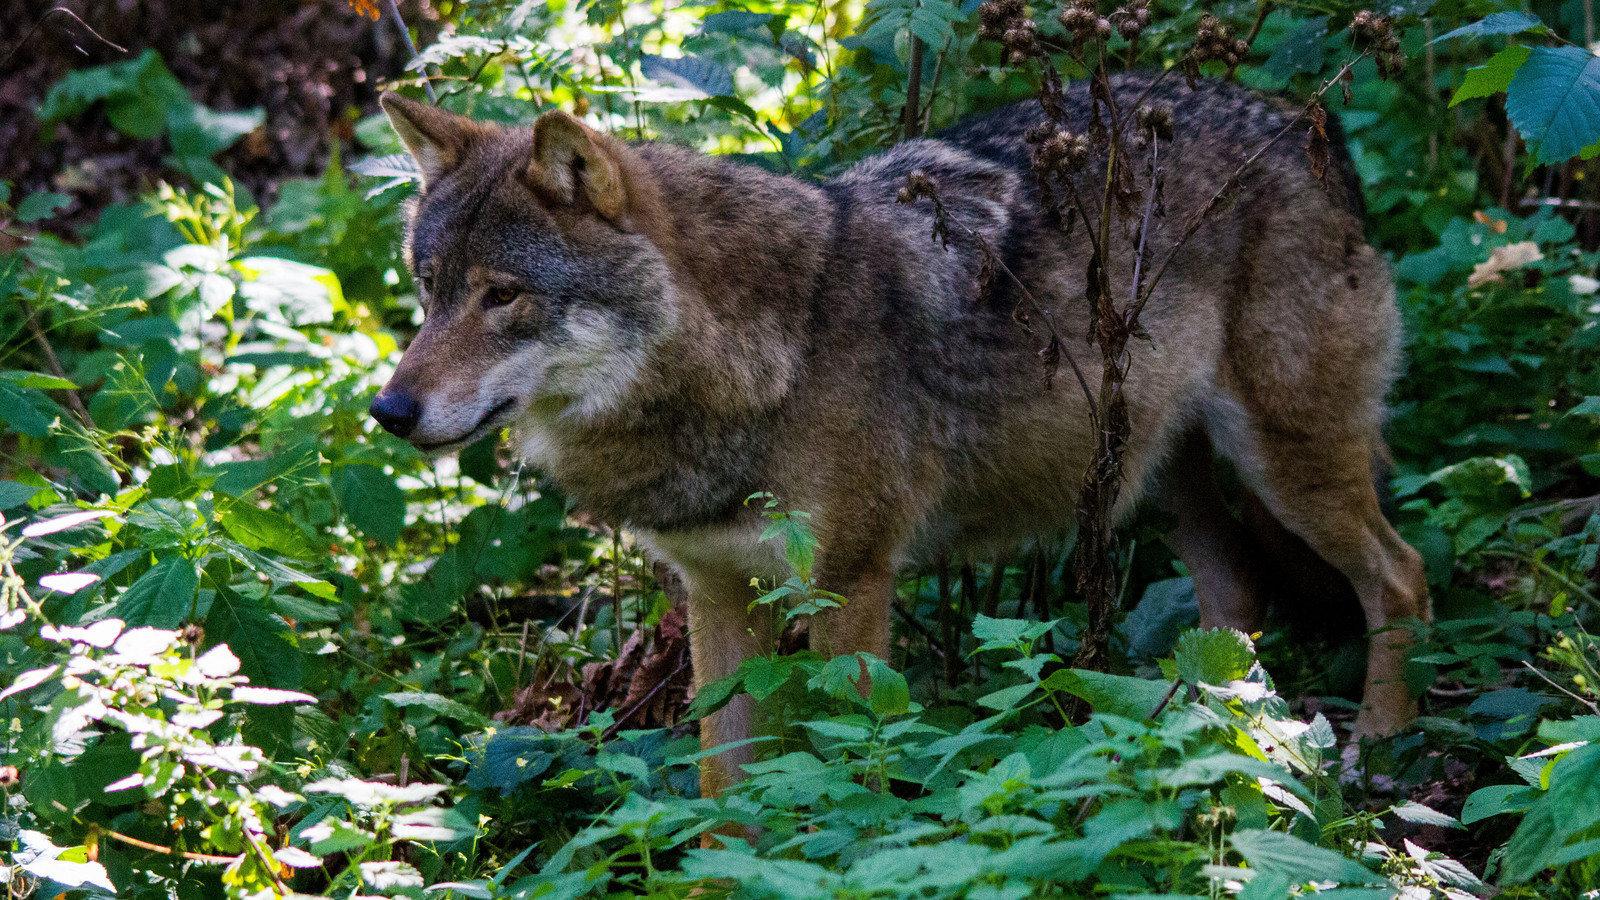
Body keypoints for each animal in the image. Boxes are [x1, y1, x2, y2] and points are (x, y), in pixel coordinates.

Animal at [370, 73, 1431, 797]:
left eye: (502, 296)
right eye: (427, 291)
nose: (390, 411)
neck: (761, 361)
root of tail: (1301, 123)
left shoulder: (851, 584)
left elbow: (857, 767)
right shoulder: (717, 595)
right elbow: (723, 792)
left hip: (1284, 464)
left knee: (1401, 574)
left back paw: (1375, 747)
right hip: (1156, 475)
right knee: (1238, 593)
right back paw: (1202, 752)